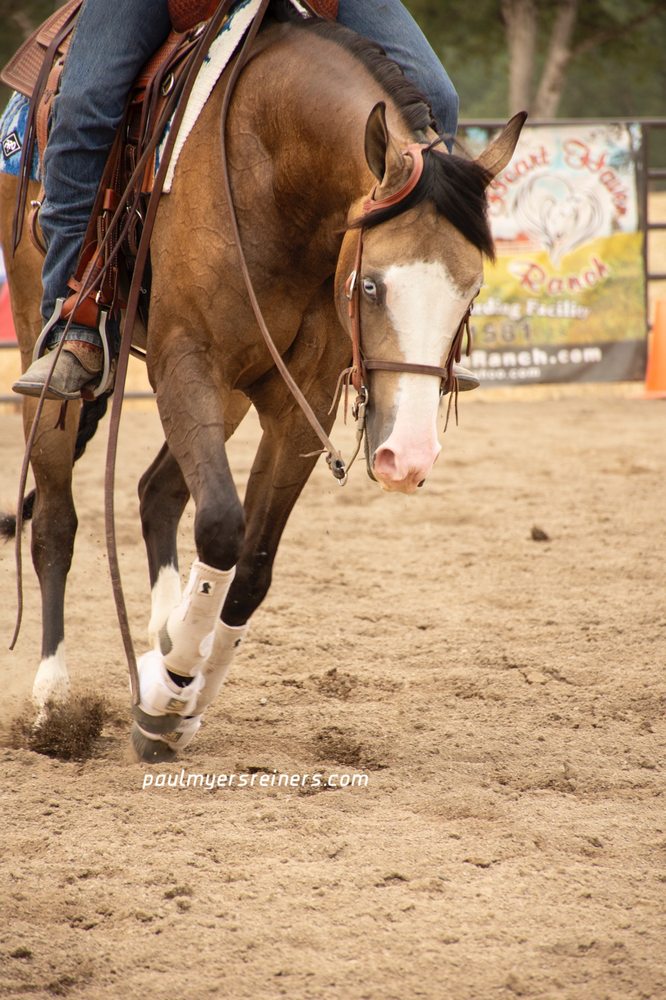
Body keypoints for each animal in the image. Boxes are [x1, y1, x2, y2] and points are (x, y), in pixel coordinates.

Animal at [0, 10, 524, 761]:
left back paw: (161, 630)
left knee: (156, 492)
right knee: (55, 523)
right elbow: (222, 527)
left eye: (472, 290)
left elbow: (252, 566)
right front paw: (165, 695)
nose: (409, 457)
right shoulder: (183, 361)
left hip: (232, 394)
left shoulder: (298, 404)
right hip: (47, 352)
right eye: (370, 285)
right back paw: (52, 701)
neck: (276, 173)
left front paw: (182, 689)